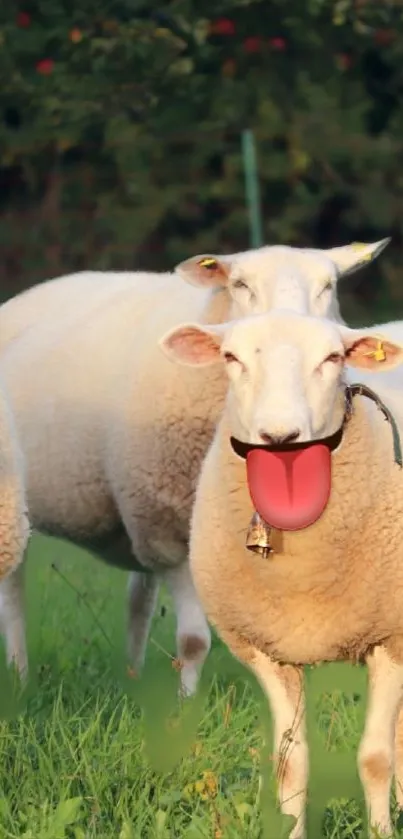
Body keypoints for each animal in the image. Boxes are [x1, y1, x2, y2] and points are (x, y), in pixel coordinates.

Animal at [0, 239, 390, 696]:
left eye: (328, 285)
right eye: (240, 285)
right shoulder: (171, 532)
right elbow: (193, 641)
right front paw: (187, 705)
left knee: (138, 598)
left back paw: (132, 673)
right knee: (14, 592)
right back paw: (20, 673)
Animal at [160, 308, 403, 837]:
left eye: (333, 358)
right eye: (231, 358)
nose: (279, 437)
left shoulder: (391, 637)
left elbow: (375, 758)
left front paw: (381, 830)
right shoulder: (266, 649)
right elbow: (291, 763)